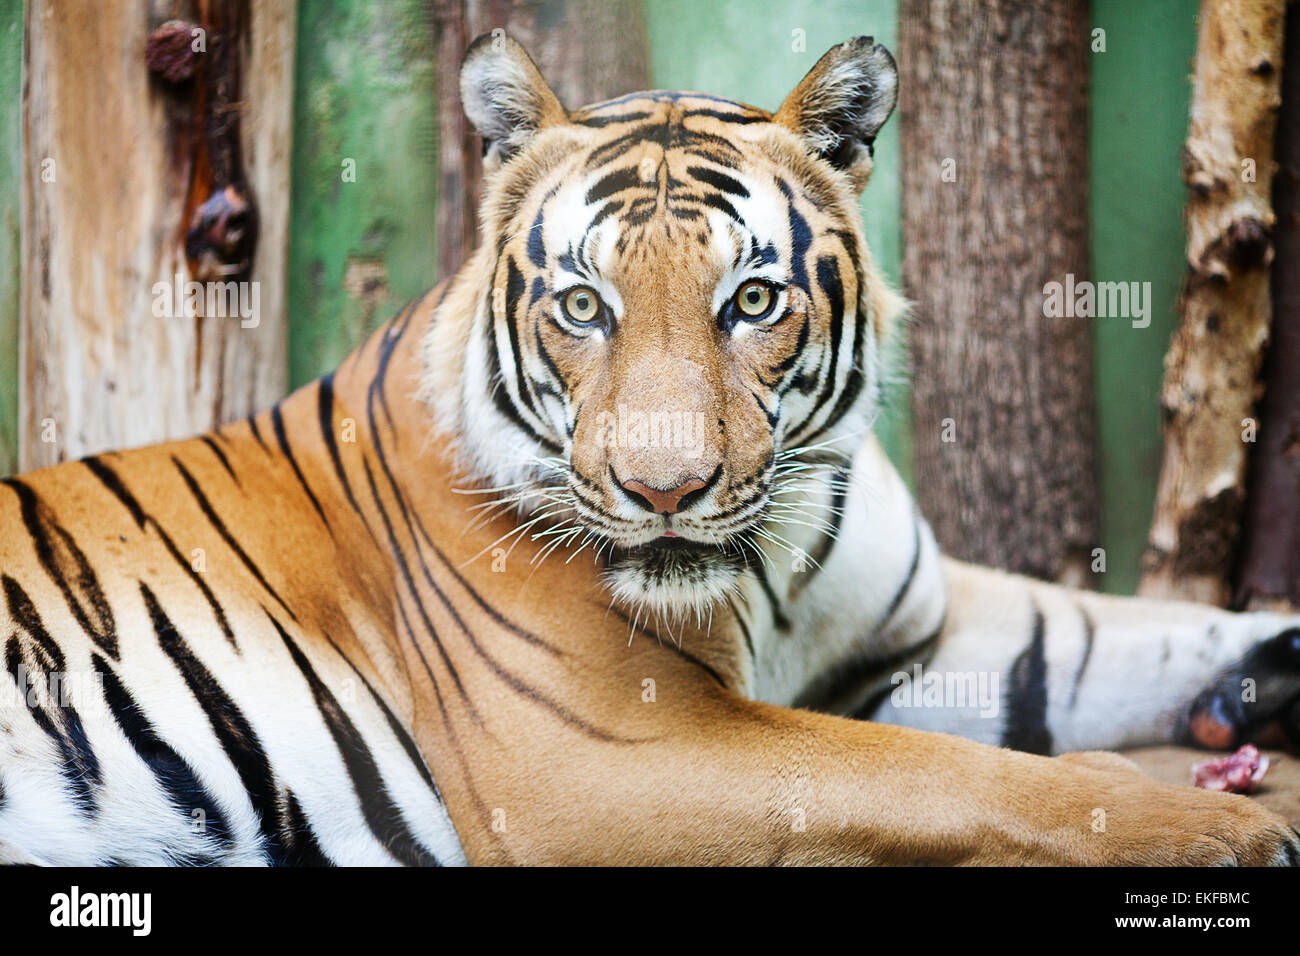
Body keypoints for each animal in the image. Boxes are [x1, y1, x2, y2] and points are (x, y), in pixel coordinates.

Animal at [2, 32, 1299, 866]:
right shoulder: (600, 748)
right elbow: (919, 768)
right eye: (584, 307)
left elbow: (1094, 635)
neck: (774, 575)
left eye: (753, 299)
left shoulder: (920, 633)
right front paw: (1215, 823)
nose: (663, 490)